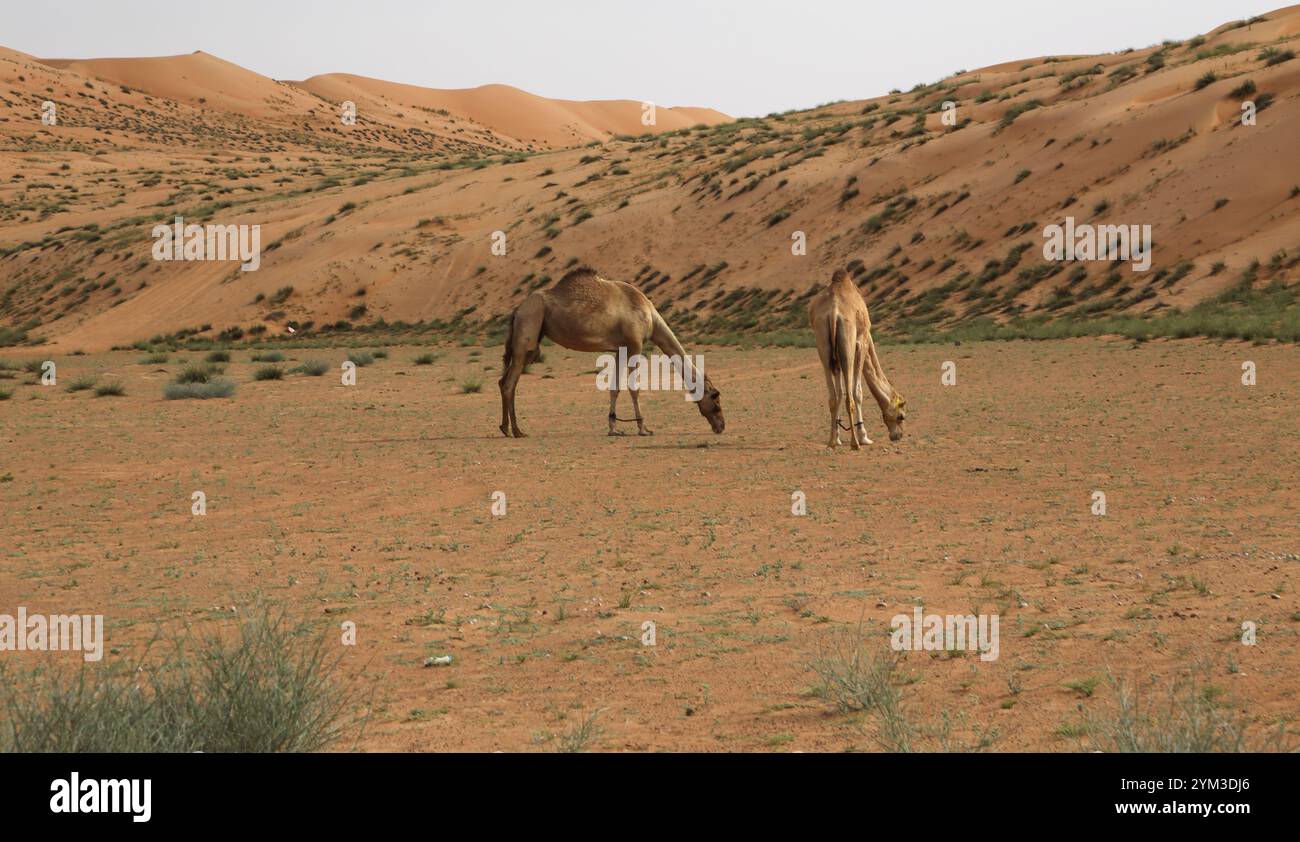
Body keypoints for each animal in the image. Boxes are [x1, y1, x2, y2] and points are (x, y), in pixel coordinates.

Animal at [499, 266, 724, 438]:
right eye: (716, 400)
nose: (721, 426)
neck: (650, 315)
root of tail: (517, 309)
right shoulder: (635, 345)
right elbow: (634, 388)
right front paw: (643, 428)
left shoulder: (619, 349)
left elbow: (615, 388)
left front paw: (614, 428)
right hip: (529, 327)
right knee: (510, 383)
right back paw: (517, 431)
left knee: (505, 381)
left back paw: (505, 428)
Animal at [809, 268, 907, 449]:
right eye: (901, 416)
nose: (897, 436)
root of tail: (833, 311)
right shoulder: (862, 342)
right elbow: (858, 392)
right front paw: (864, 437)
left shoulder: (835, 360)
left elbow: (839, 394)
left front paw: (837, 438)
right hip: (847, 345)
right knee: (851, 397)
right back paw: (856, 443)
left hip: (822, 344)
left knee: (833, 397)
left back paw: (831, 443)